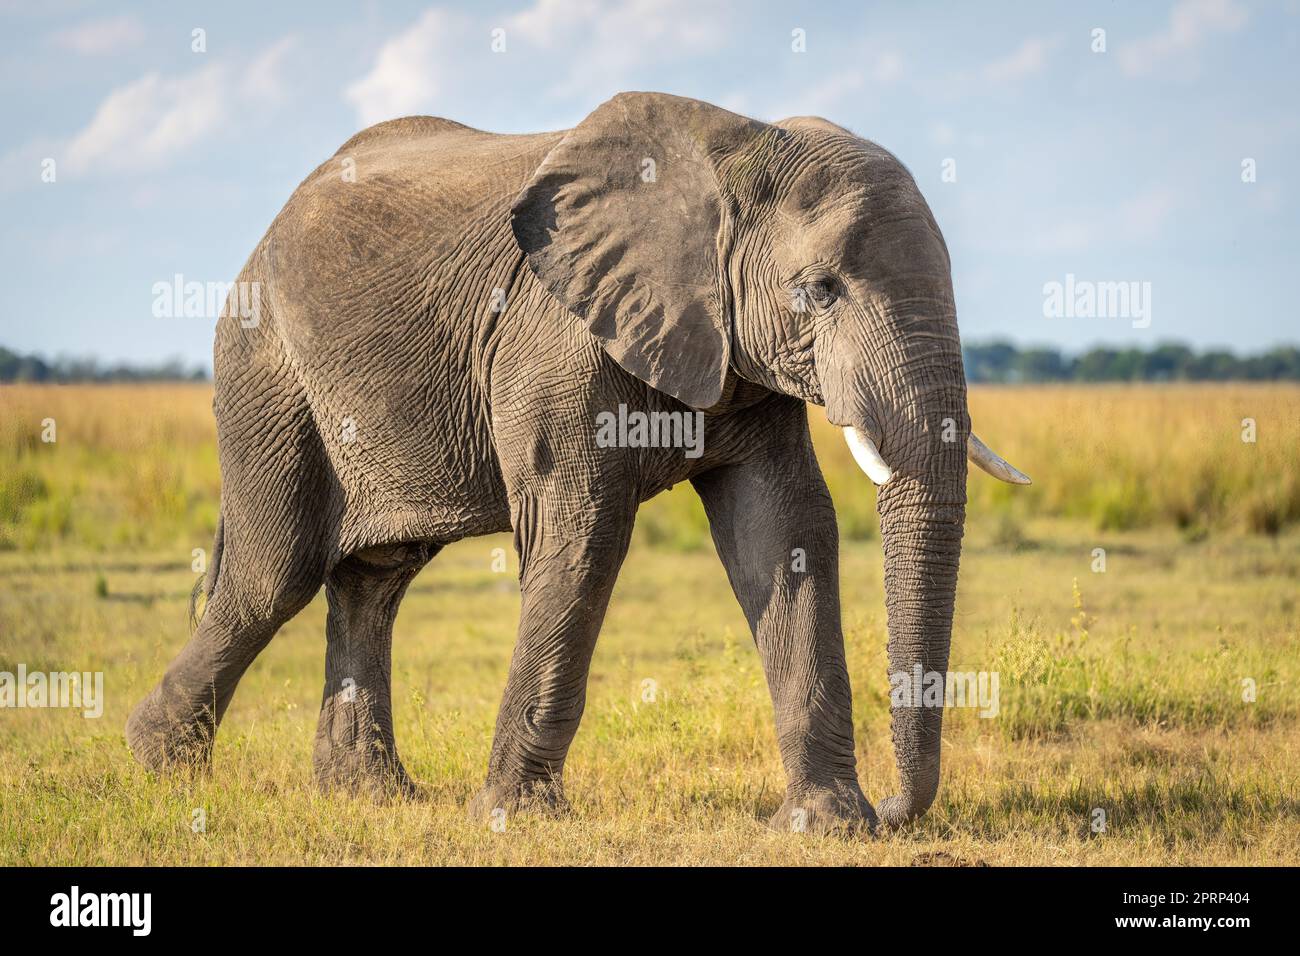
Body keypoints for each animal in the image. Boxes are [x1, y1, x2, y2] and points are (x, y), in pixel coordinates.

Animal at [126, 92, 1029, 833]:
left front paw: (827, 826)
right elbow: (582, 535)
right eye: (818, 290)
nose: (897, 809)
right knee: (272, 575)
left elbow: (784, 530)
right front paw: (510, 819)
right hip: (266, 364)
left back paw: (370, 797)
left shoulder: (736, 349)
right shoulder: (554, 340)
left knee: (374, 577)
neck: (739, 150)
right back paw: (158, 765)